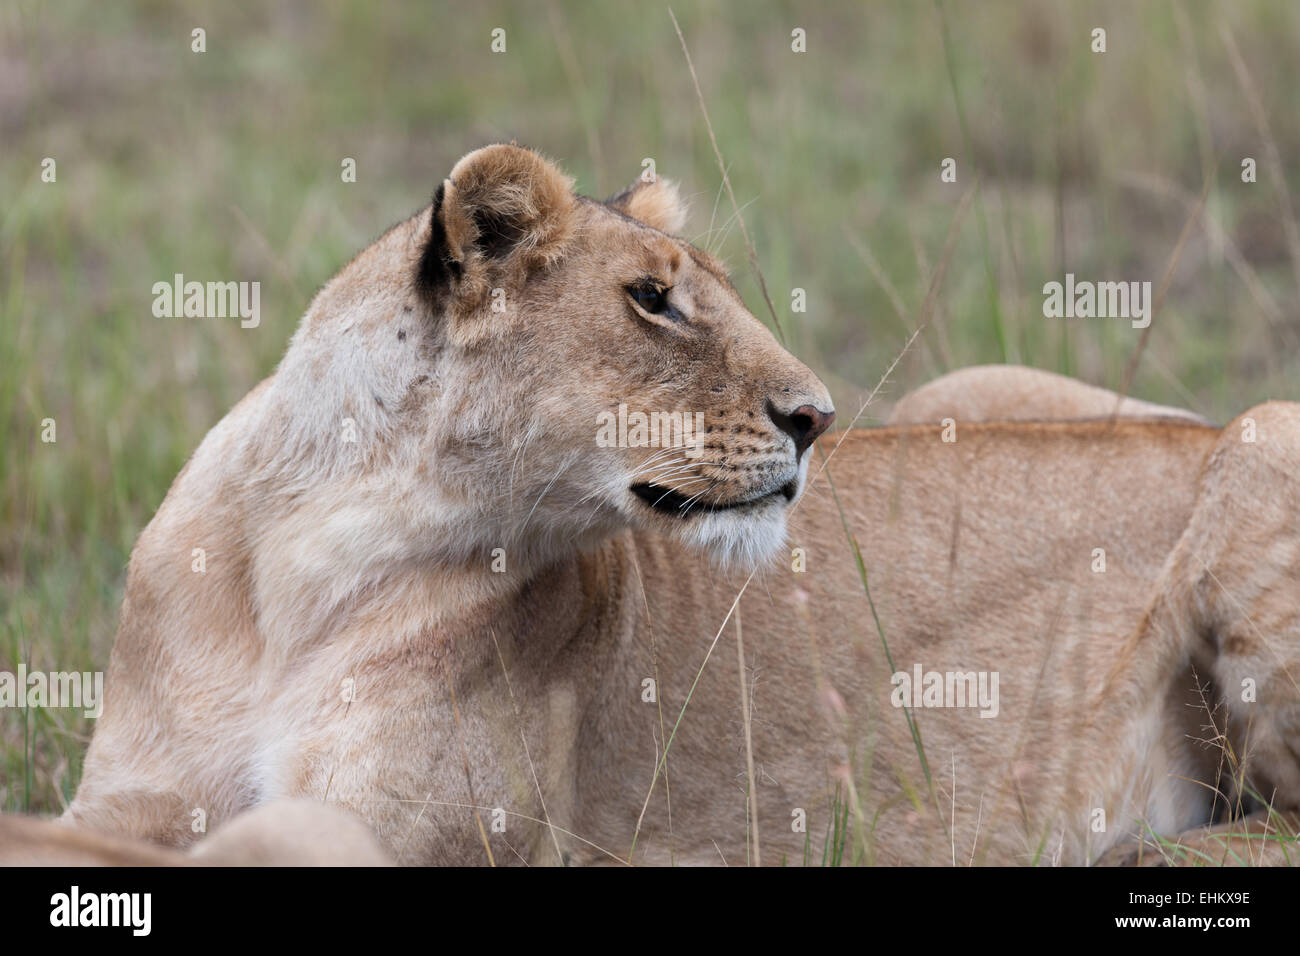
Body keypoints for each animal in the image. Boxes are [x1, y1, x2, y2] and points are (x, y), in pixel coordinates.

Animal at [6, 144, 1298, 866]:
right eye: (652, 300)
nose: (817, 415)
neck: (307, 556)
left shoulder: (408, 832)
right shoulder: (138, 791)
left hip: (1260, 432)